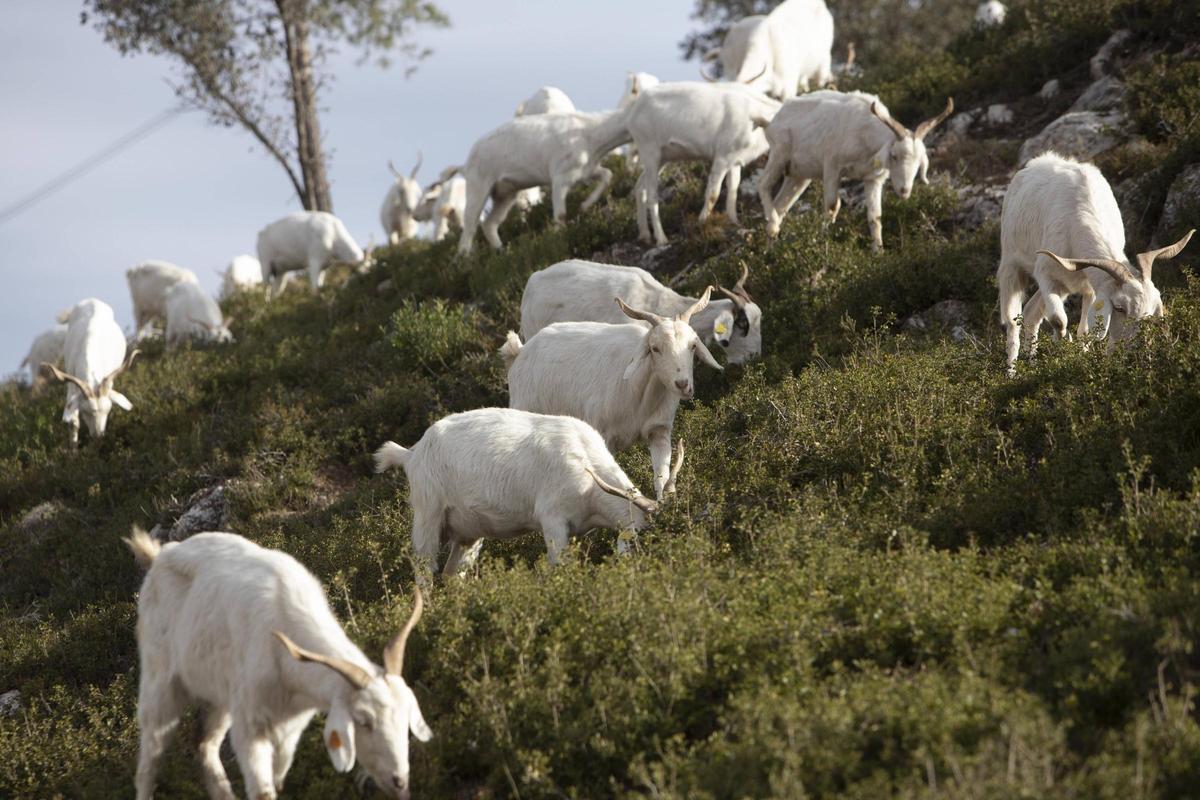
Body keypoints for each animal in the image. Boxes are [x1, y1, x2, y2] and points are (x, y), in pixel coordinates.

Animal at [124, 528, 430, 800]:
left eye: (406, 717)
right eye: (363, 722)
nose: (400, 782)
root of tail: (160, 555)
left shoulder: (290, 729)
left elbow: (279, 780)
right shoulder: (250, 727)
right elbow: (263, 791)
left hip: (220, 699)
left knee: (204, 745)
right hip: (160, 684)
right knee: (149, 759)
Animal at [374, 408, 683, 573]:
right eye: (646, 540)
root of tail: (412, 454)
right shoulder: (553, 520)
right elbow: (559, 566)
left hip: (468, 532)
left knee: (452, 574)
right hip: (428, 514)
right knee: (424, 569)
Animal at [504, 288, 718, 500]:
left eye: (692, 346)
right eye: (655, 348)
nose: (683, 384)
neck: (639, 395)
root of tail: (520, 352)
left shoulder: (659, 431)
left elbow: (661, 478)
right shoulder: (604, 435)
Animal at [758, 90, 953, 250]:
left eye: (919, 161)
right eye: (894, 156)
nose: (905, 190)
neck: (863, 133)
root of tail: (773, 121)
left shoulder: (873, 179)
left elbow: (875, 217)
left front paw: (878, 253)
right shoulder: (832, 167)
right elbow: (832, 207)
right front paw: (822, 245)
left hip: (799, 176)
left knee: (780, 206)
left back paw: (770, 252)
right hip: (779, 154)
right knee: (763, 185)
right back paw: (773, 228)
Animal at [998, 152, 1195, 373]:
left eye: (1150, 313)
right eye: (1119, 308)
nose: (1134, 354)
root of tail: (1035, 164)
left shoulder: (1089, 284)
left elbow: (1085, 331)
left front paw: (1081, 357)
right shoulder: (1046, 274)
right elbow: (1058, 320)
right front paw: (1063, 348)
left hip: (1064, 283)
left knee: (1031, 313)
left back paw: (1031, 367)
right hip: (1011, 264)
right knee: (1013, 320)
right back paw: (1012, 372)